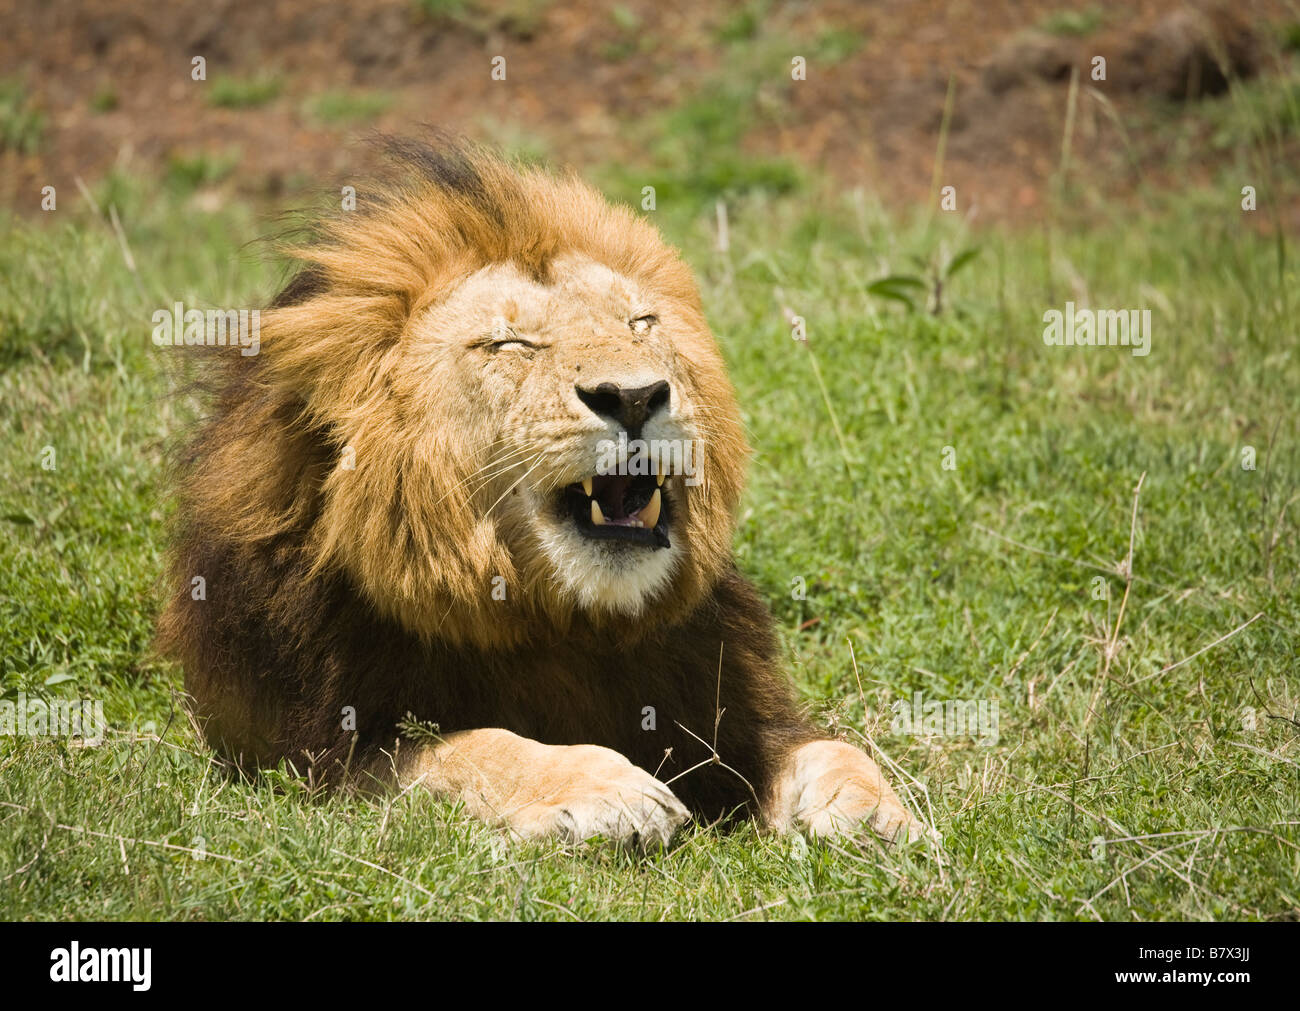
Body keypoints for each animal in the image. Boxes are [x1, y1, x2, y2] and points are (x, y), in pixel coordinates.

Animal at [158, 138, 926, 849]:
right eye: (512, 344)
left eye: (640, 324)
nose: (635, 396)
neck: (565, 626)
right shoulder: (317, 759)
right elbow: (475, 747)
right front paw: (608, 789)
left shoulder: (729, 722)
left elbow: (831, 747)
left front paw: (875, 812)